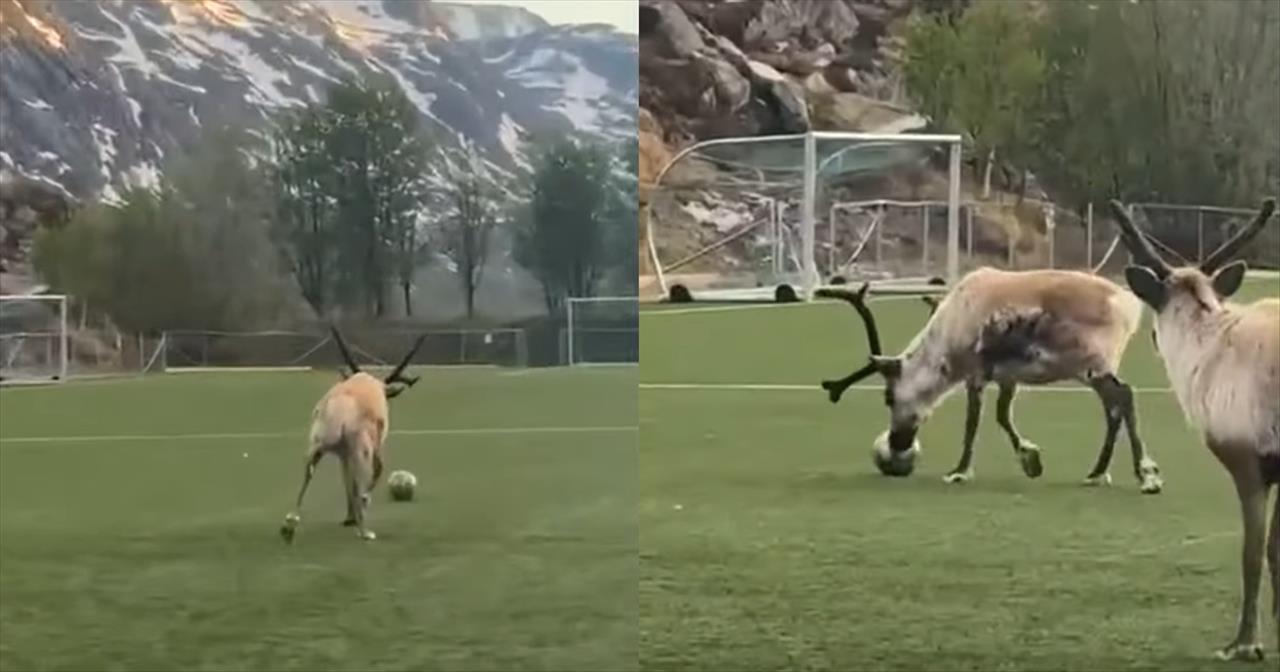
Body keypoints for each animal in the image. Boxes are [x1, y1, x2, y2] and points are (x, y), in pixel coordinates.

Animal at [279, 327, 427, 543]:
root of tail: (340, 408)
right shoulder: (374, 448)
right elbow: (367, 480)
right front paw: (357, 515)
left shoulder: (343, 453)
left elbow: (347, 481)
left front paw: (349, 518)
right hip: (361, 447)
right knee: (362, 479)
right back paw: (365, 531)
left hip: (317, 442)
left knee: (308, 473)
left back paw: (290, 524)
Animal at [818, 268, 1163, 494]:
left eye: (888, 397)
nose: (896, 444)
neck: (946, 341)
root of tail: (1130, 306)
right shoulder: (1007, 377)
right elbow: (1002, 415)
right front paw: (1030, 459)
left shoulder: (975, 371)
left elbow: (972, 424)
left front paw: (959, 472)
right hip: (1094, 369)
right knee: (1114, 408)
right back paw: (1097, 473)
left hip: (1093, 364)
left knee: (1124, 395)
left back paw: (1147, 476)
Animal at [1108, 197, 1278, 661]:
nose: (1150, 339)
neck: (1204, 343)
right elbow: (1275, 550)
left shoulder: (1246, 457)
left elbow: (1253, 552)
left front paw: (1245, 643)